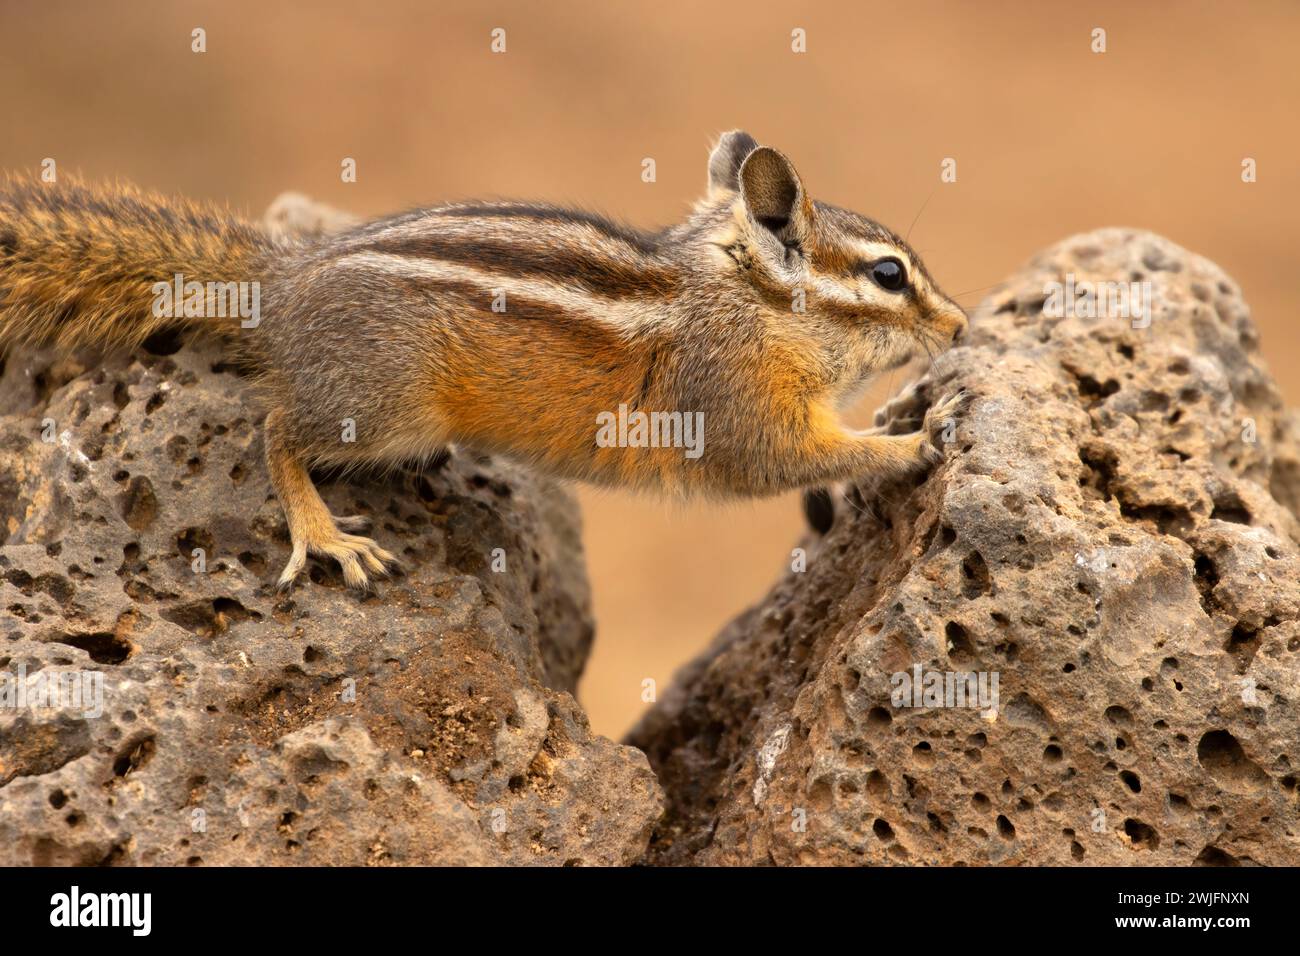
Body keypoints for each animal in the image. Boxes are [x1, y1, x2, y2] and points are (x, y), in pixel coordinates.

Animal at [0, 130, 968, 591]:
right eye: (889, 275)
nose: (959, 325)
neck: (748, 303)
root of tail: (281, 283)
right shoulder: (730, 402)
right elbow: (786, 456)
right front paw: (917, 438)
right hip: (385, 401)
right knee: (275, 430)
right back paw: (325, 535)